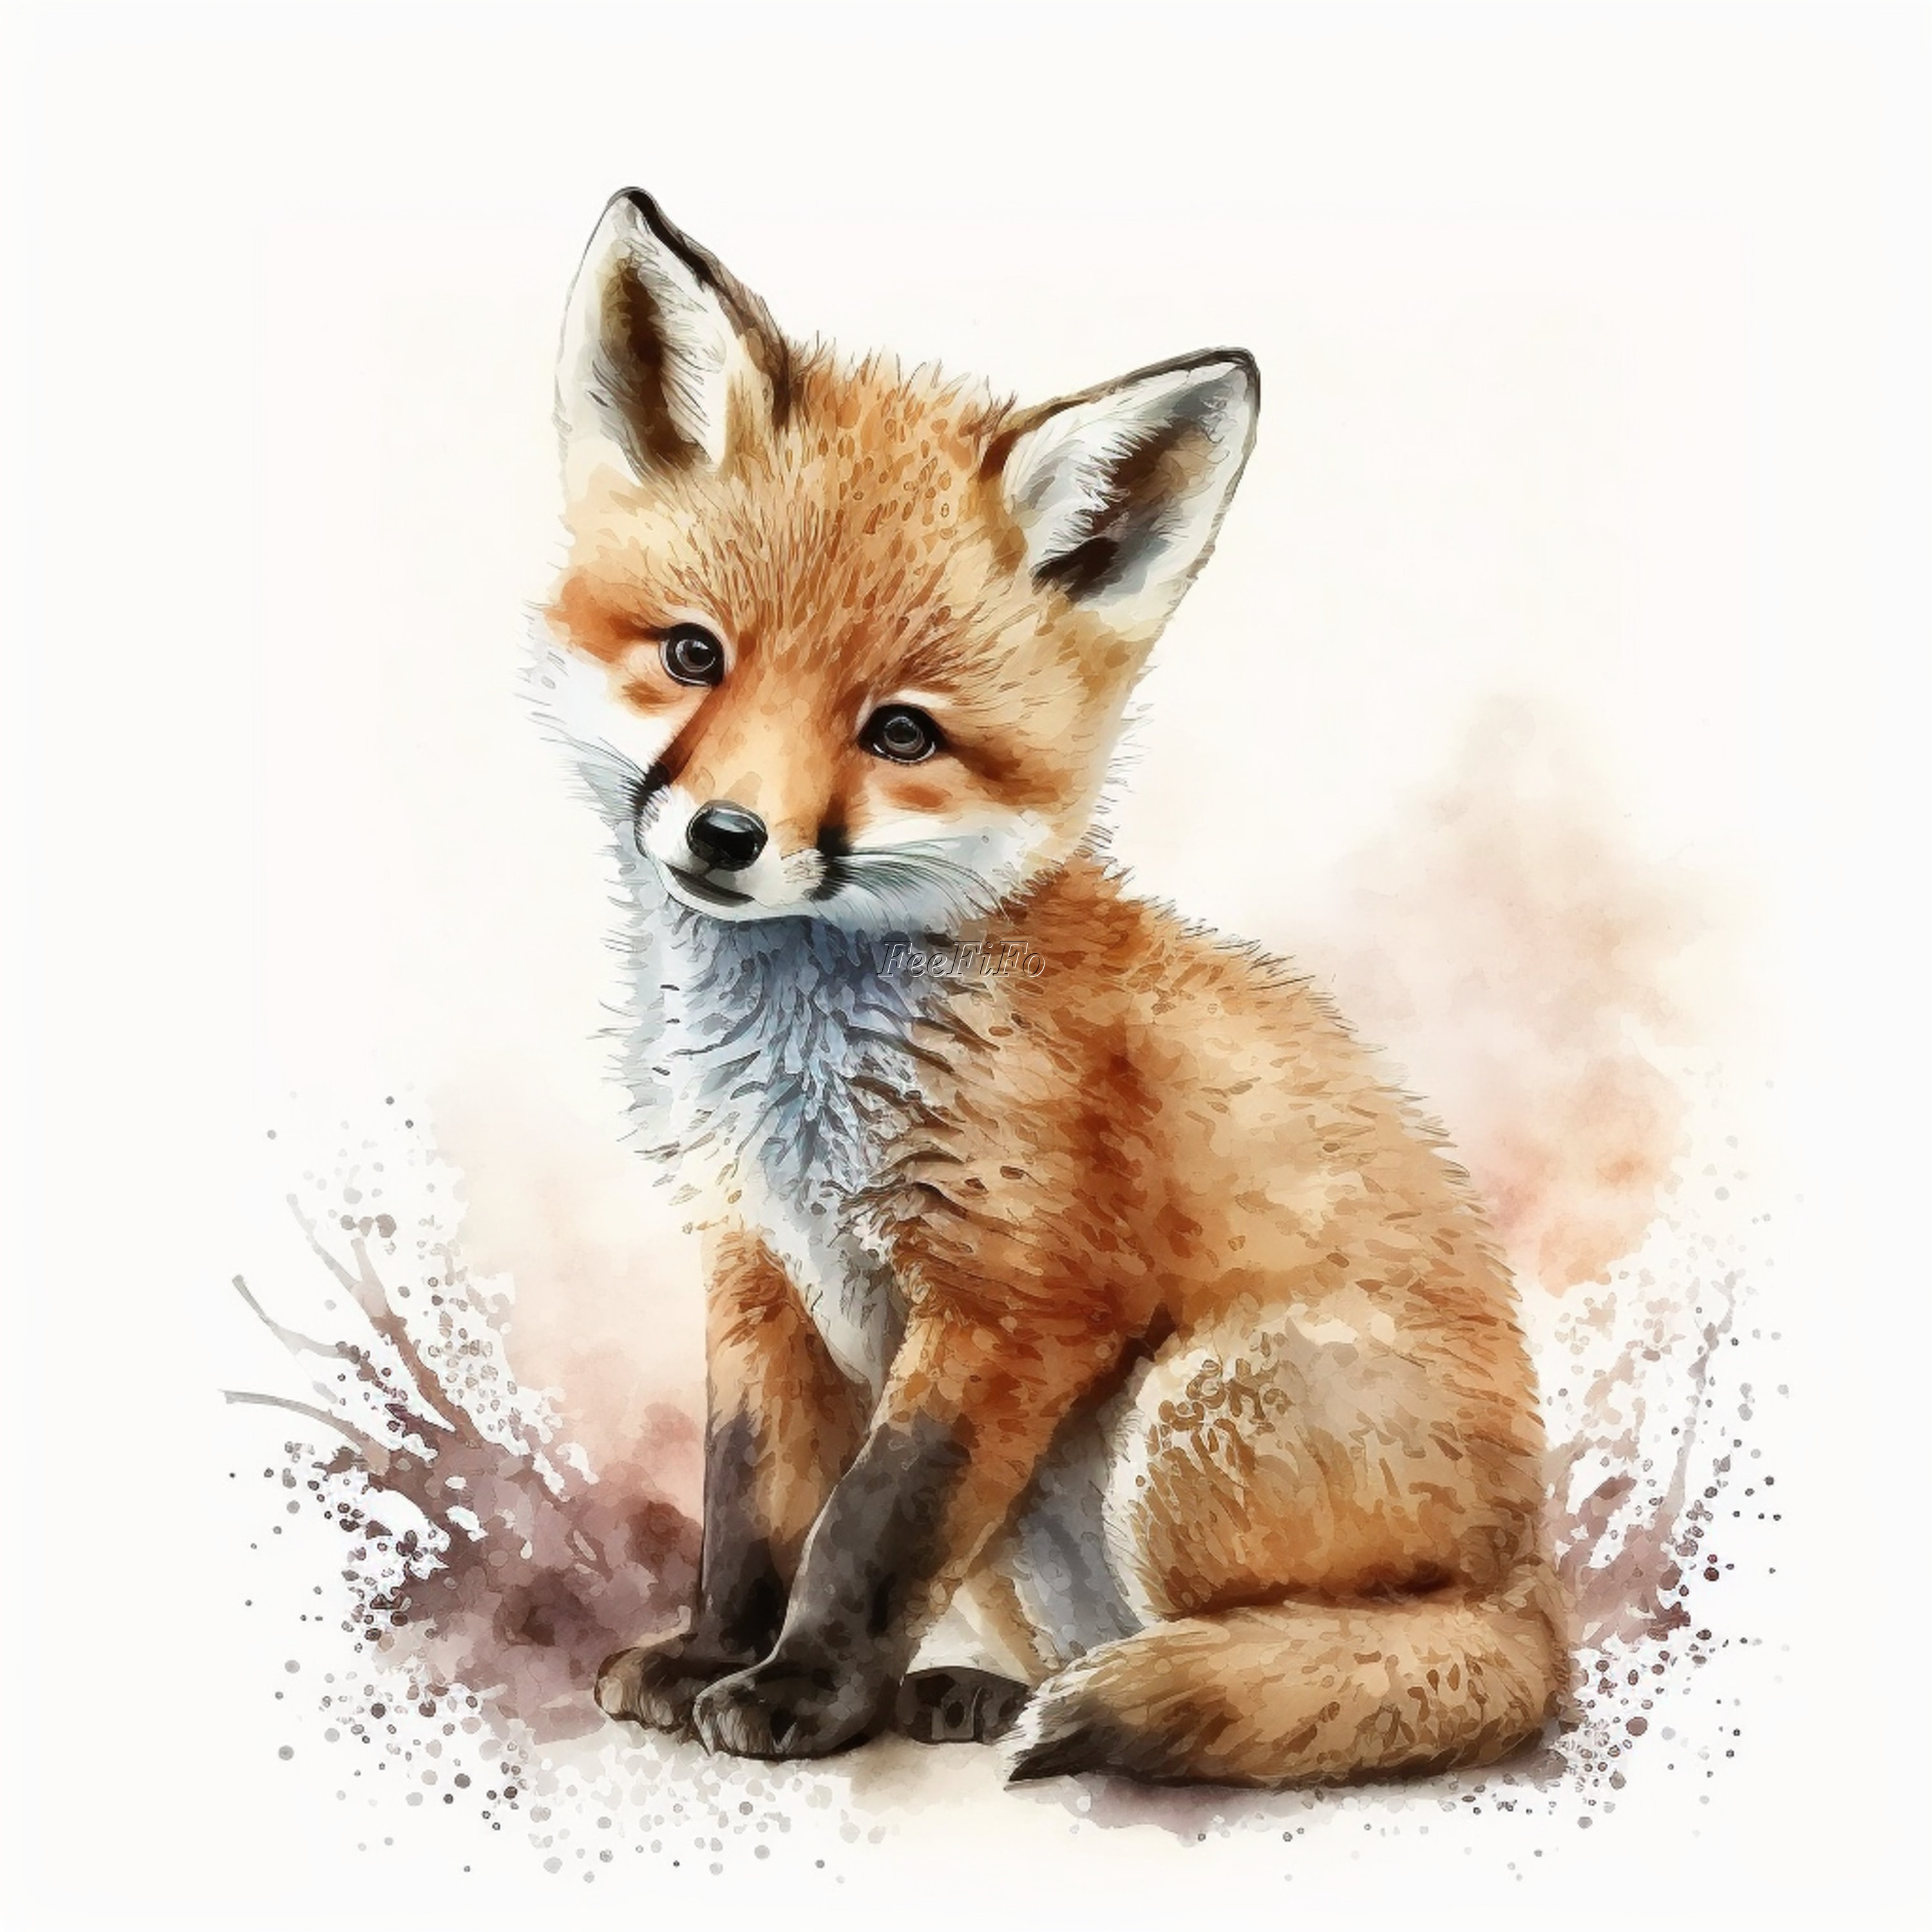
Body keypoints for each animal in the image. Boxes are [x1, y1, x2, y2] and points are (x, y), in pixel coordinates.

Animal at [534, 189, 1567, 1787]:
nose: (725, 837)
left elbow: (873, 1530)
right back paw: (979, 1695)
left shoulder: (1013, 1298)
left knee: (1306, 1666)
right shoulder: (760, 1269)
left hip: (1186, 1421)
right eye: (695, 656)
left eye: (900, 733)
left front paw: (798, 1692)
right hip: (1051, 1519)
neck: (800, 1076)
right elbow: (755, 1507)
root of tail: (1534, 1610)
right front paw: (718, 1654)